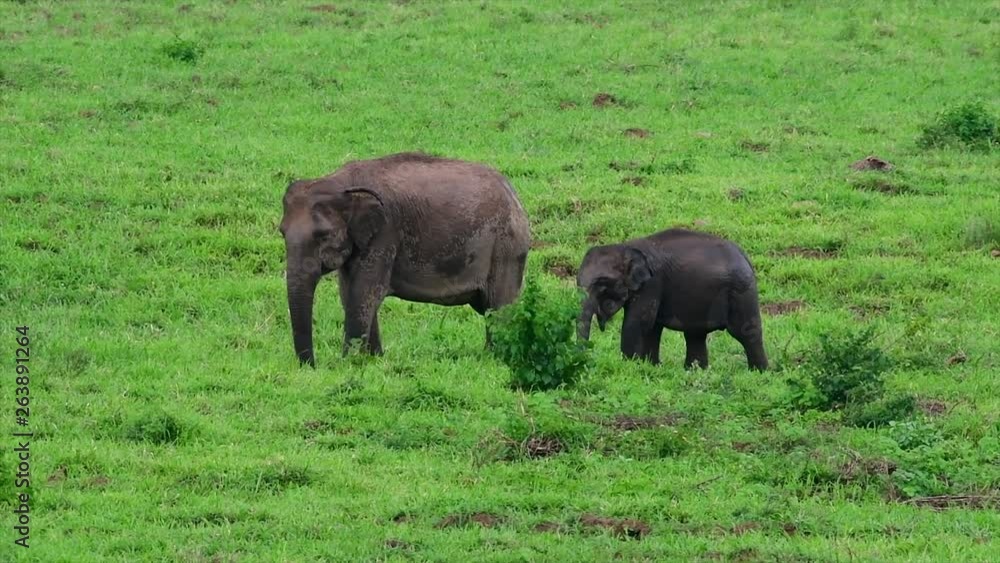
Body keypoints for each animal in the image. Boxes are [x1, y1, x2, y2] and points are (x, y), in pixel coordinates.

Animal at [280, 152, 531, 366]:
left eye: (323, 235)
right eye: (282, 232)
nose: (311, 367)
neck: (340, 184)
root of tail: (515, 197)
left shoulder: (385, 233)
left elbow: (363, 293)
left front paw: (348, 364)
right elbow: (349, 292)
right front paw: (374, 360)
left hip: (505, 247)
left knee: (499, 307)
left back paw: (497, 359)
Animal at [576, 228, 768, 370]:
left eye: (601, 285)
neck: (625, 247)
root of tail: (745, 256)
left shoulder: (652, 284)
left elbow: (639, 322)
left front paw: (629, 366)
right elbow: (652, 326)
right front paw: (651, 366)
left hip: (741, 290)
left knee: (746, 332)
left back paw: (759, 372)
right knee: (695, 334)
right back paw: (695, 371)